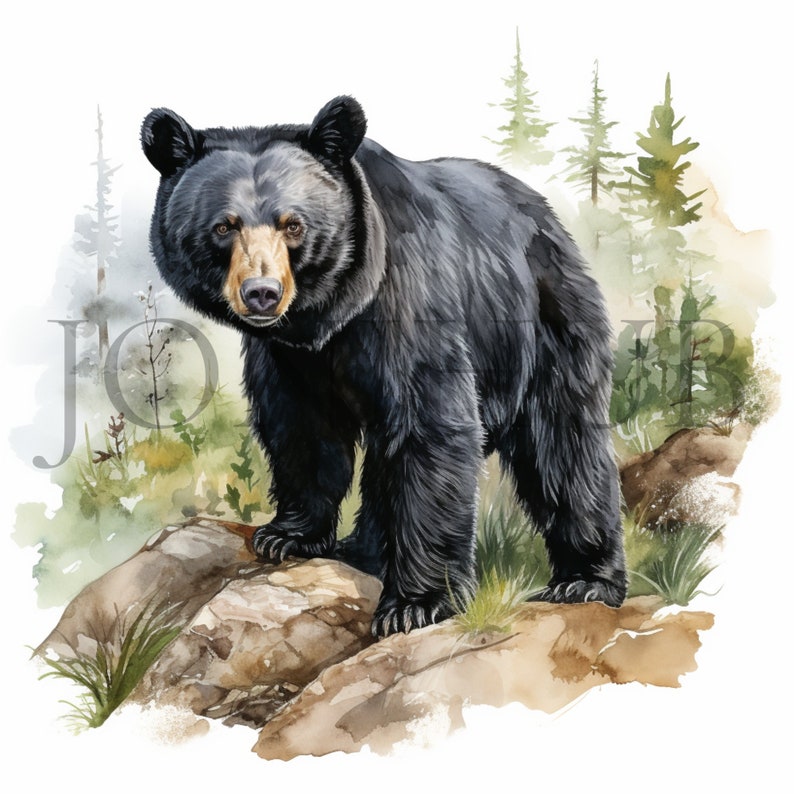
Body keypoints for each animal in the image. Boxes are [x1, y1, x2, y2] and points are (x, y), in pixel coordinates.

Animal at [141, 96, 627, 638]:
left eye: (293, 224)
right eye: (225, 226)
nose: (262, 293)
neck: (330, 314)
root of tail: (546, 214)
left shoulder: (409, 303)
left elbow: (430, 428)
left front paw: (417, 604)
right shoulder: (289, 359)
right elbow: (301, 428)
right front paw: (286, 535)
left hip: (544, 318)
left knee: (561, 442)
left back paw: (585, 580)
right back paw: (363, 549)